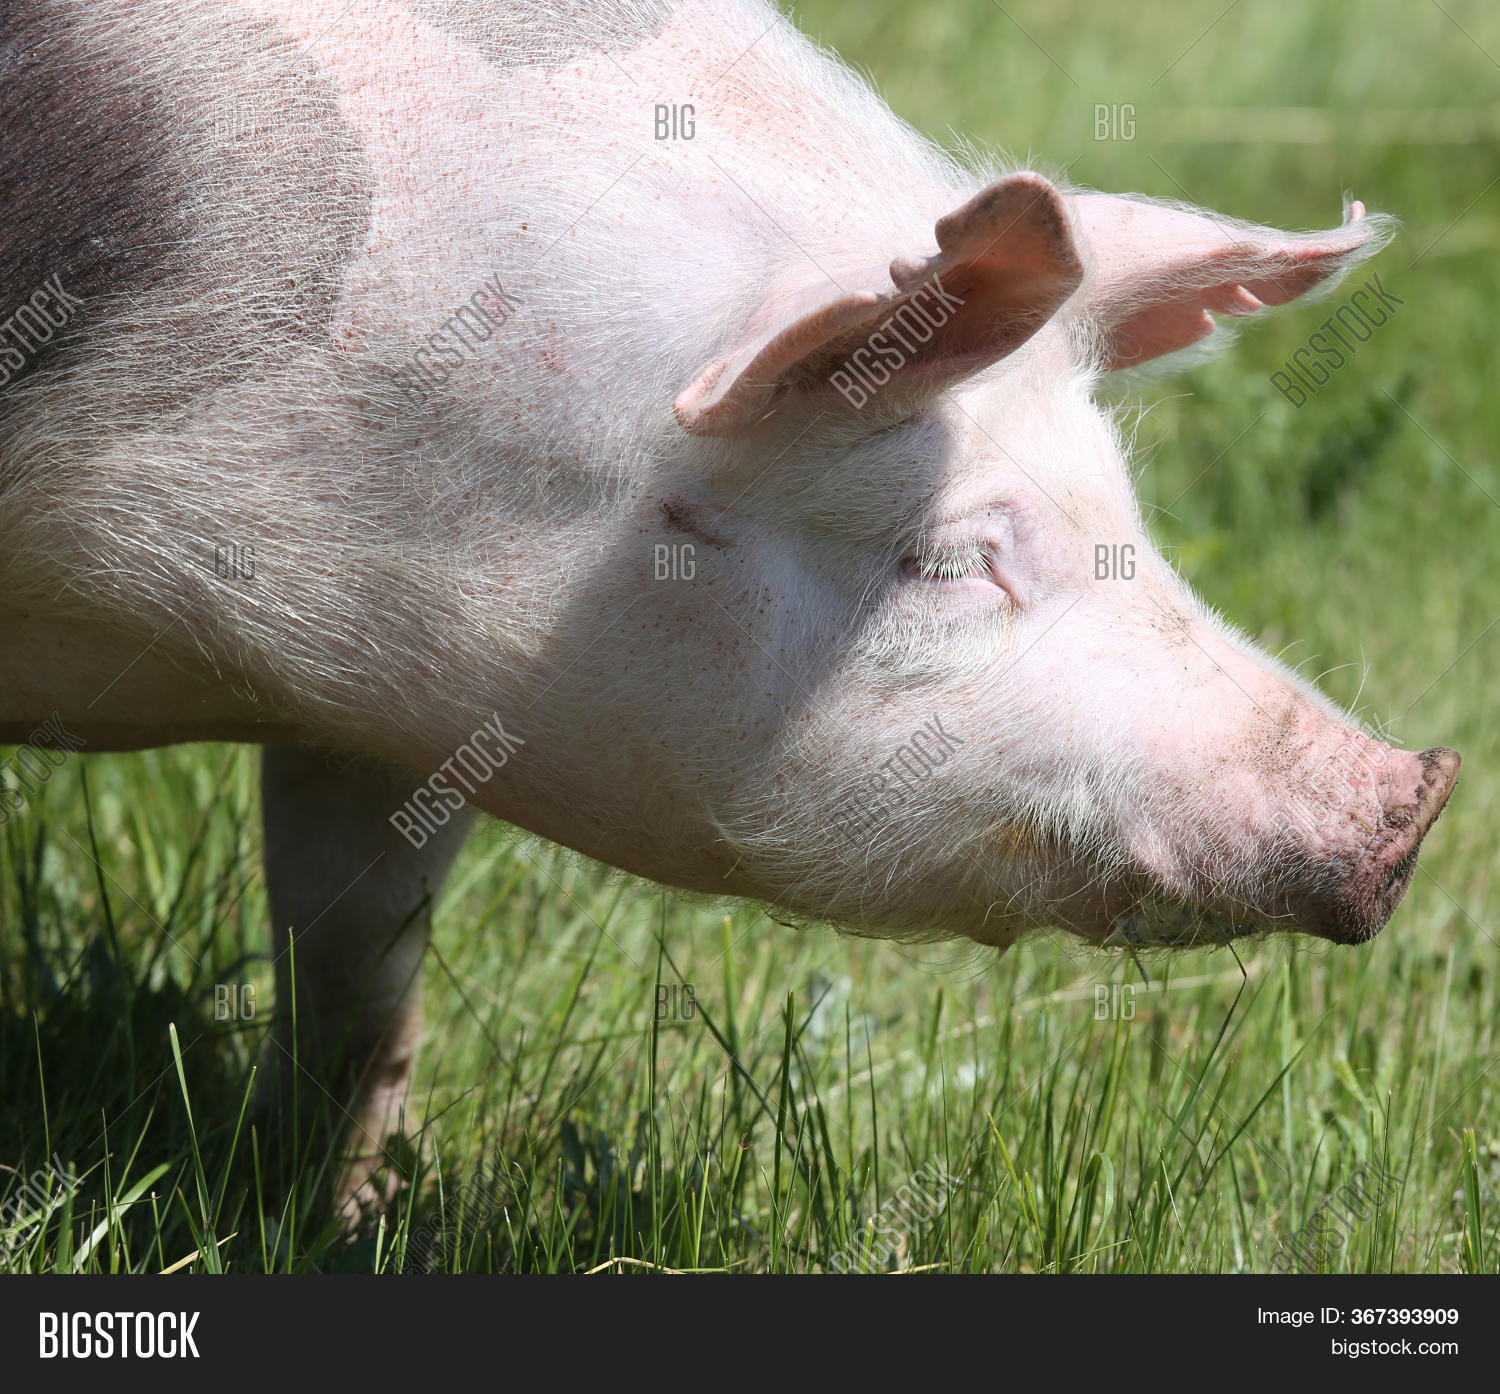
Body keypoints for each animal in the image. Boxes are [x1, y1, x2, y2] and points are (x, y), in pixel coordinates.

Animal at [0, 0, 1459, 1211]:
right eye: (950, 555)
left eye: (1126, 511)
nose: (1409, 793)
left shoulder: (383, 717)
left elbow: (360, 961)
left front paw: (334, 1209)